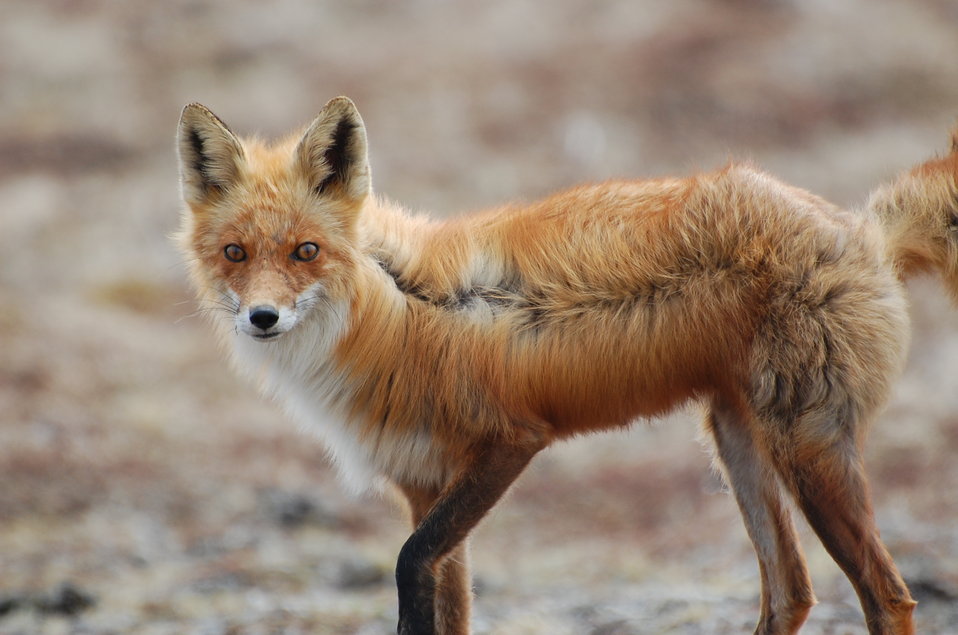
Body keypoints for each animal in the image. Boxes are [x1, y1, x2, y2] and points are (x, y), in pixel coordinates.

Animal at [176, 97, 917, 635]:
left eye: (305, 251)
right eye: (235, 253)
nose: (262, 318)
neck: (395, 311)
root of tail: (859, 228)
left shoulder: (508, 444)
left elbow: (409, 563)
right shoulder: (424, 482)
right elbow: (448, 606)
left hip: (806, 451)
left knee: (888, 595)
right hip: (738, 445)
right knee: (791, 594)